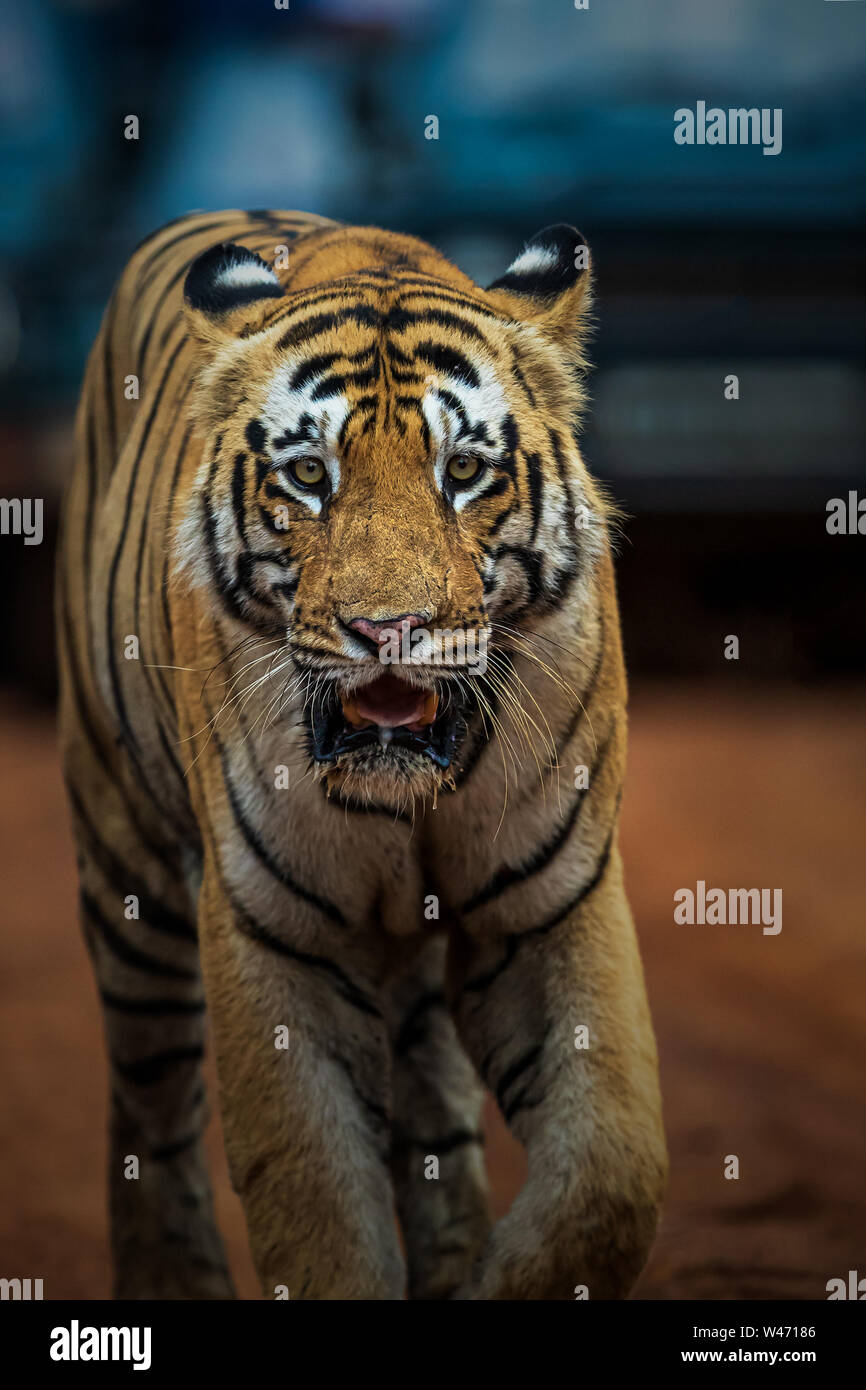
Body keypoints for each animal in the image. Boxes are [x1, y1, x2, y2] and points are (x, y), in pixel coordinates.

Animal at [56, 208, 667, 1300]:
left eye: (462, 471)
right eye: (309, 474)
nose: (388, 630)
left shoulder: (552, 903)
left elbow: (610, 1180)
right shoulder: (275, 931)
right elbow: (318, 1209)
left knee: (433, 1110)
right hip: (129, 882)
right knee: (152, 1120)